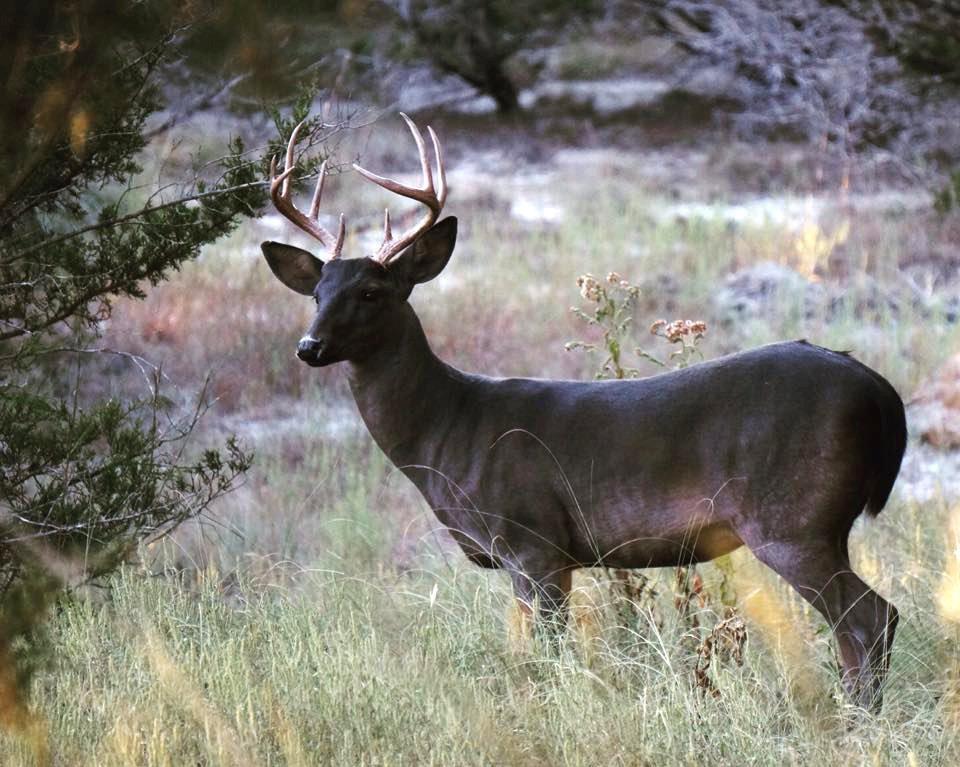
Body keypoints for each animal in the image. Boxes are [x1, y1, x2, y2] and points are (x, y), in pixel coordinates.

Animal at [260, 111, 908, 712]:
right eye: (316, 294)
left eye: (372, 292)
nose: (308, 347)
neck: (447, 435)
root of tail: (879, 390)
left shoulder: (535, 541)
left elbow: (545, 656)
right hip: (819, 523)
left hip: (794, 518)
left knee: (869, 617)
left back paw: (857, 722)